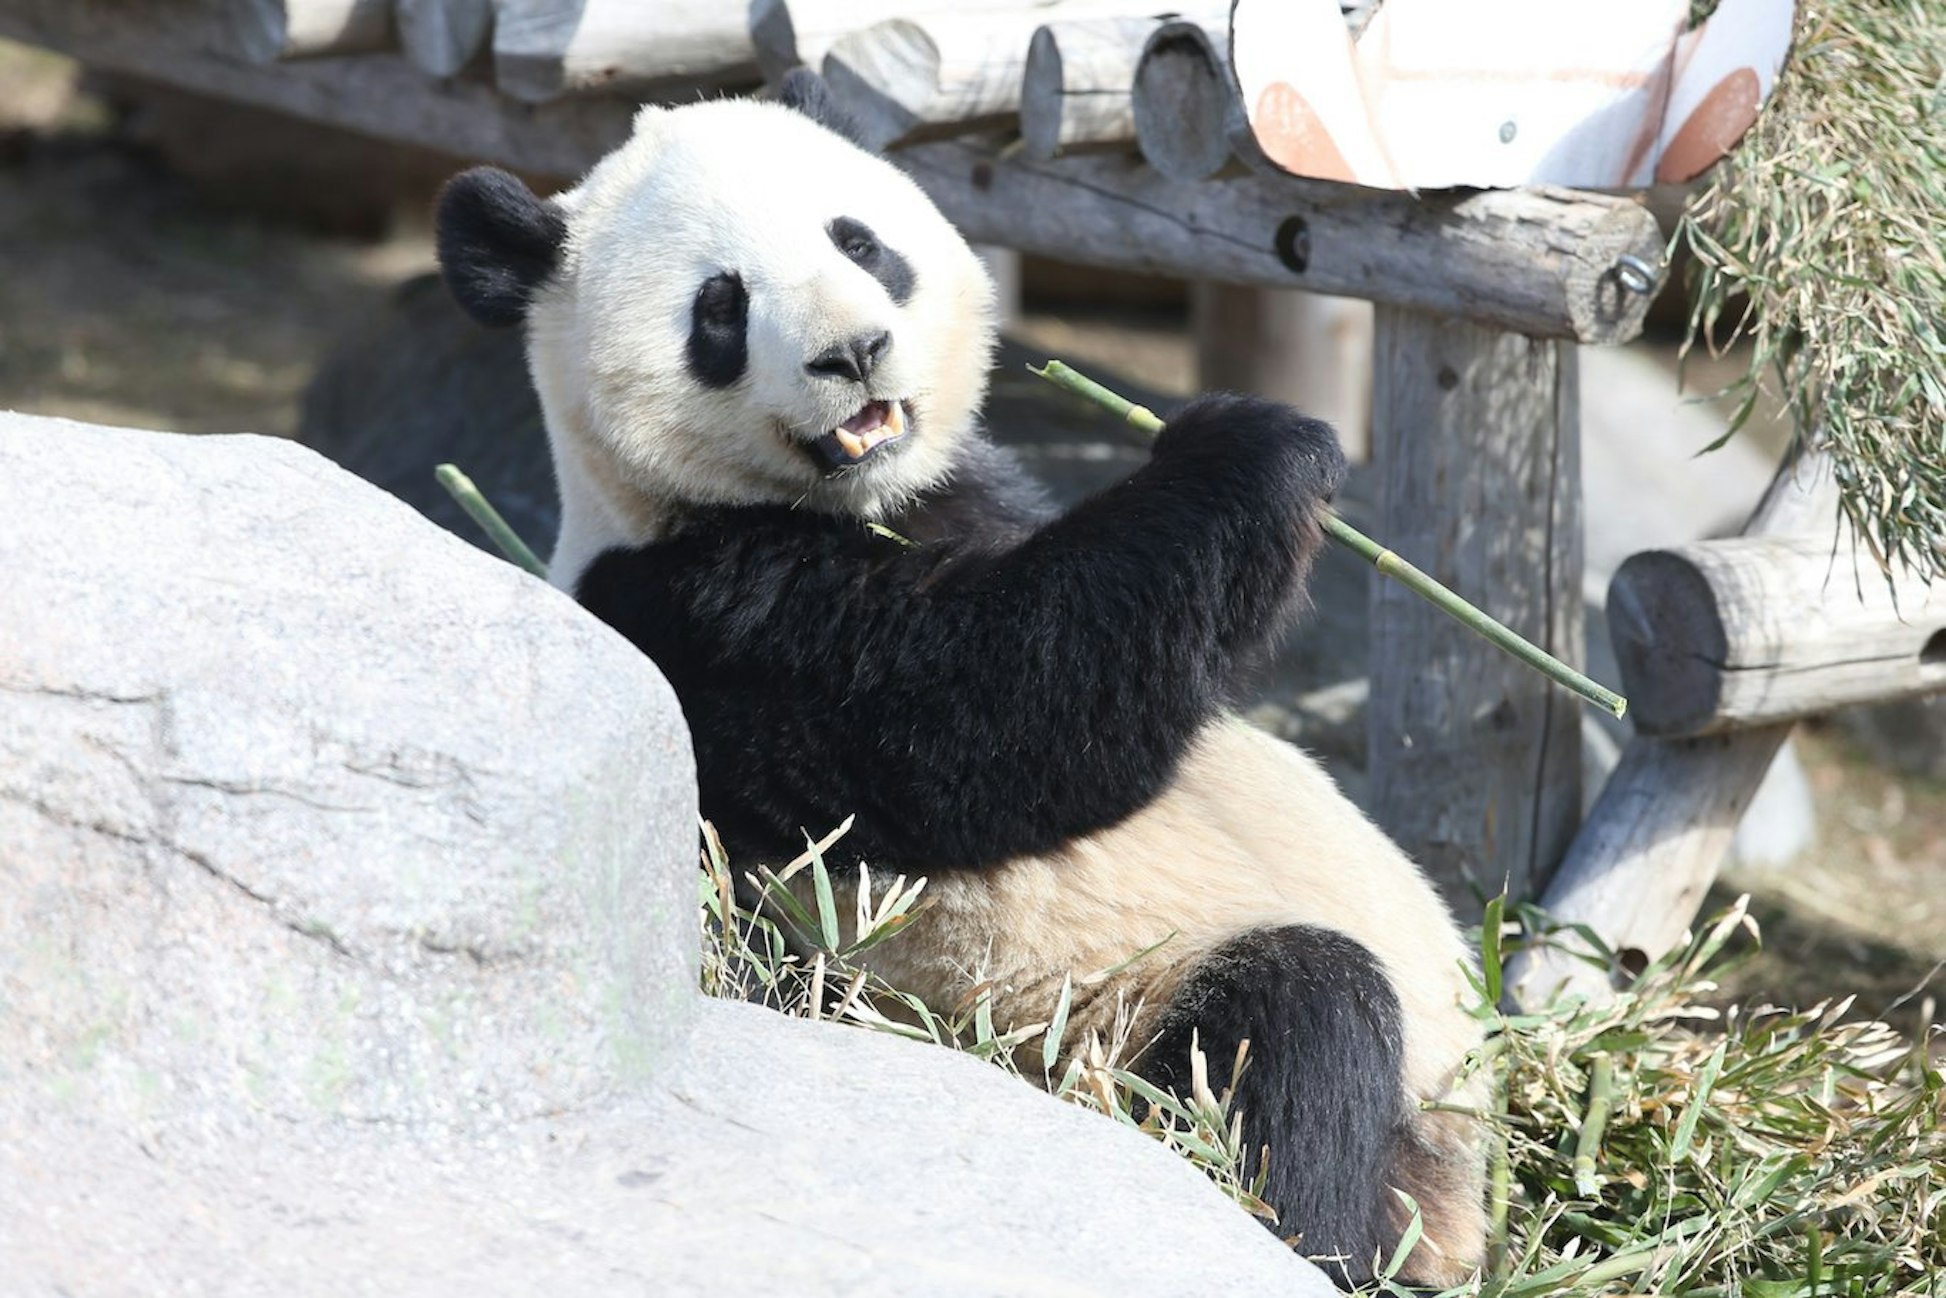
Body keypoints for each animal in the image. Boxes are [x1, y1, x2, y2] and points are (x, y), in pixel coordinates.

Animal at [434, 71, 1485, 1290]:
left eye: (858, 241)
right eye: (719, 309)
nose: (854, 351)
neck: (859, 503)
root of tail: (1451, 1196)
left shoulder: (967, 493)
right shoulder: (705, 613)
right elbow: (995, 717)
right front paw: (1252, 448)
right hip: (1104, 1018)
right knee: (1289, 1029)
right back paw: (1323, 1233)